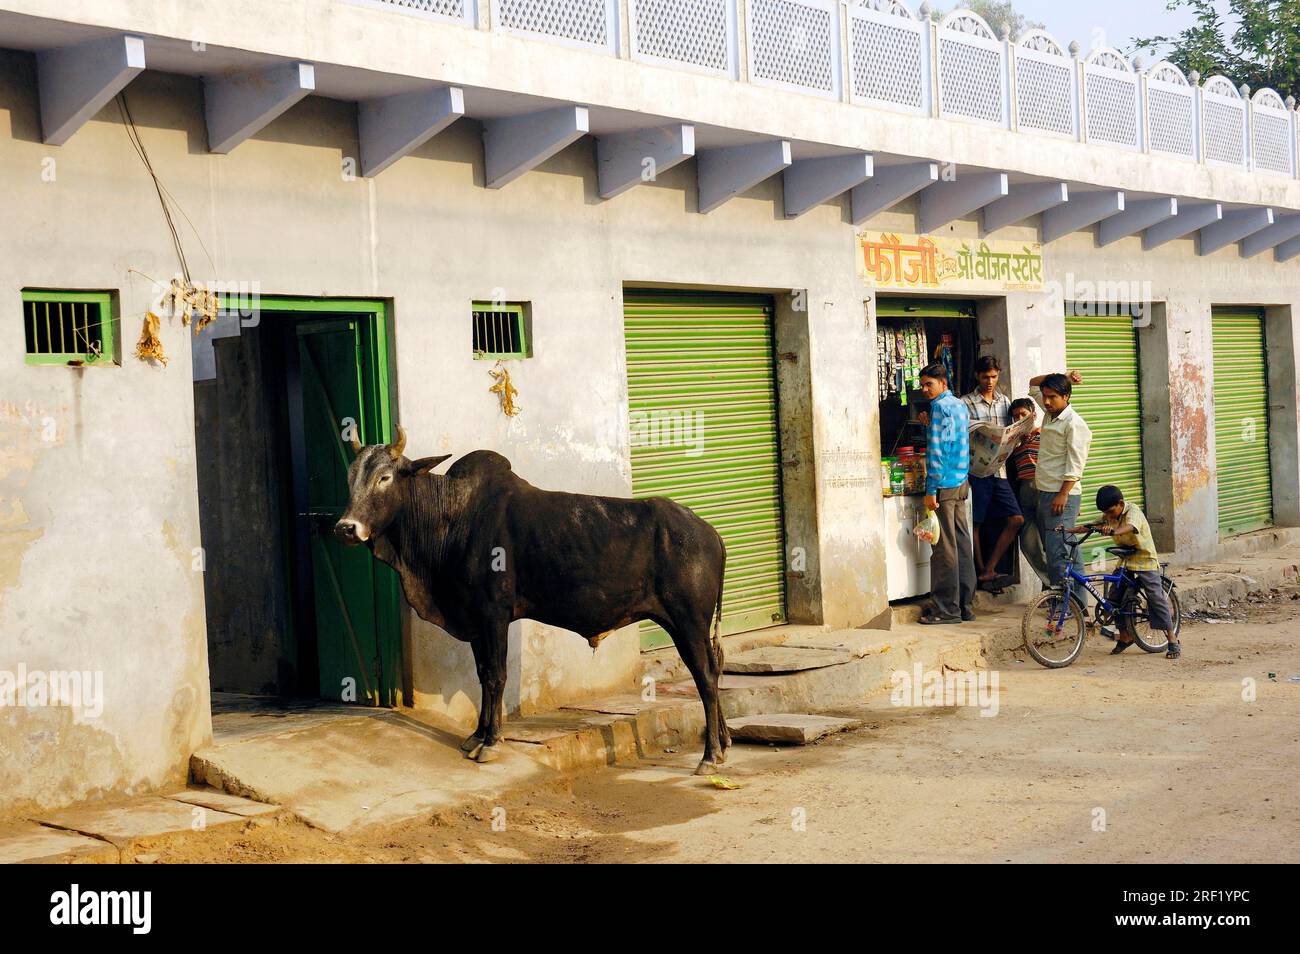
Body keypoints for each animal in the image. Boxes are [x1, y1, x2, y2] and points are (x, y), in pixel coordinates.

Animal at [334, 426, 732, 776]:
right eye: (351, 477)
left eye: (385, 478)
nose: (346, 528)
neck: (452, 516)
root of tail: (709, 532)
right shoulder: (475, 621)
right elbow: (482, 675)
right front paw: (476, 735)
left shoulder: (493, 613)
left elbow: (496, 676)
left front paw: (491, 742)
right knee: (712, 670)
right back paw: (724, 744)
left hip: (687, 622)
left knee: (705, 676)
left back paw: (710, 755)